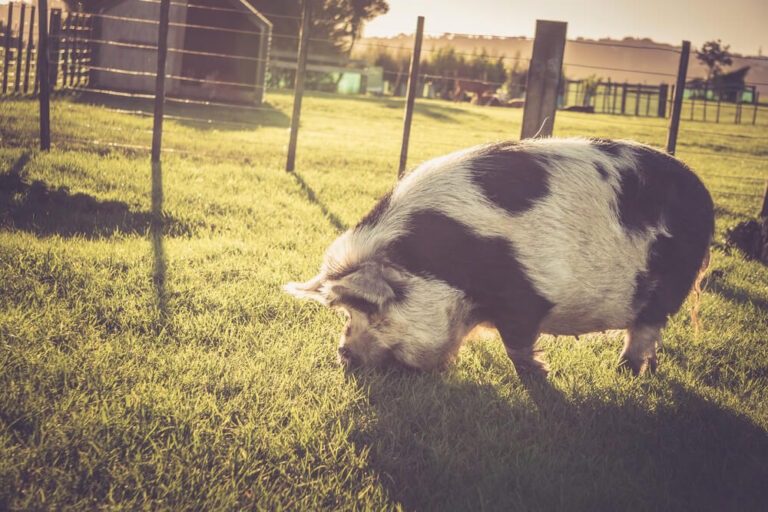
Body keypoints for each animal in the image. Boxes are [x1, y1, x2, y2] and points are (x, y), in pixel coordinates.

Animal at [285, 138, 714, 376]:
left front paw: (541, 373)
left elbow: (518, 346)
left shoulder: (524, 296)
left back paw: (625, 372)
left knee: (645, 329)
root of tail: (701, 192)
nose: (342, 354)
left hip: (668, 284)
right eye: (346, 312)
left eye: (369, 310)